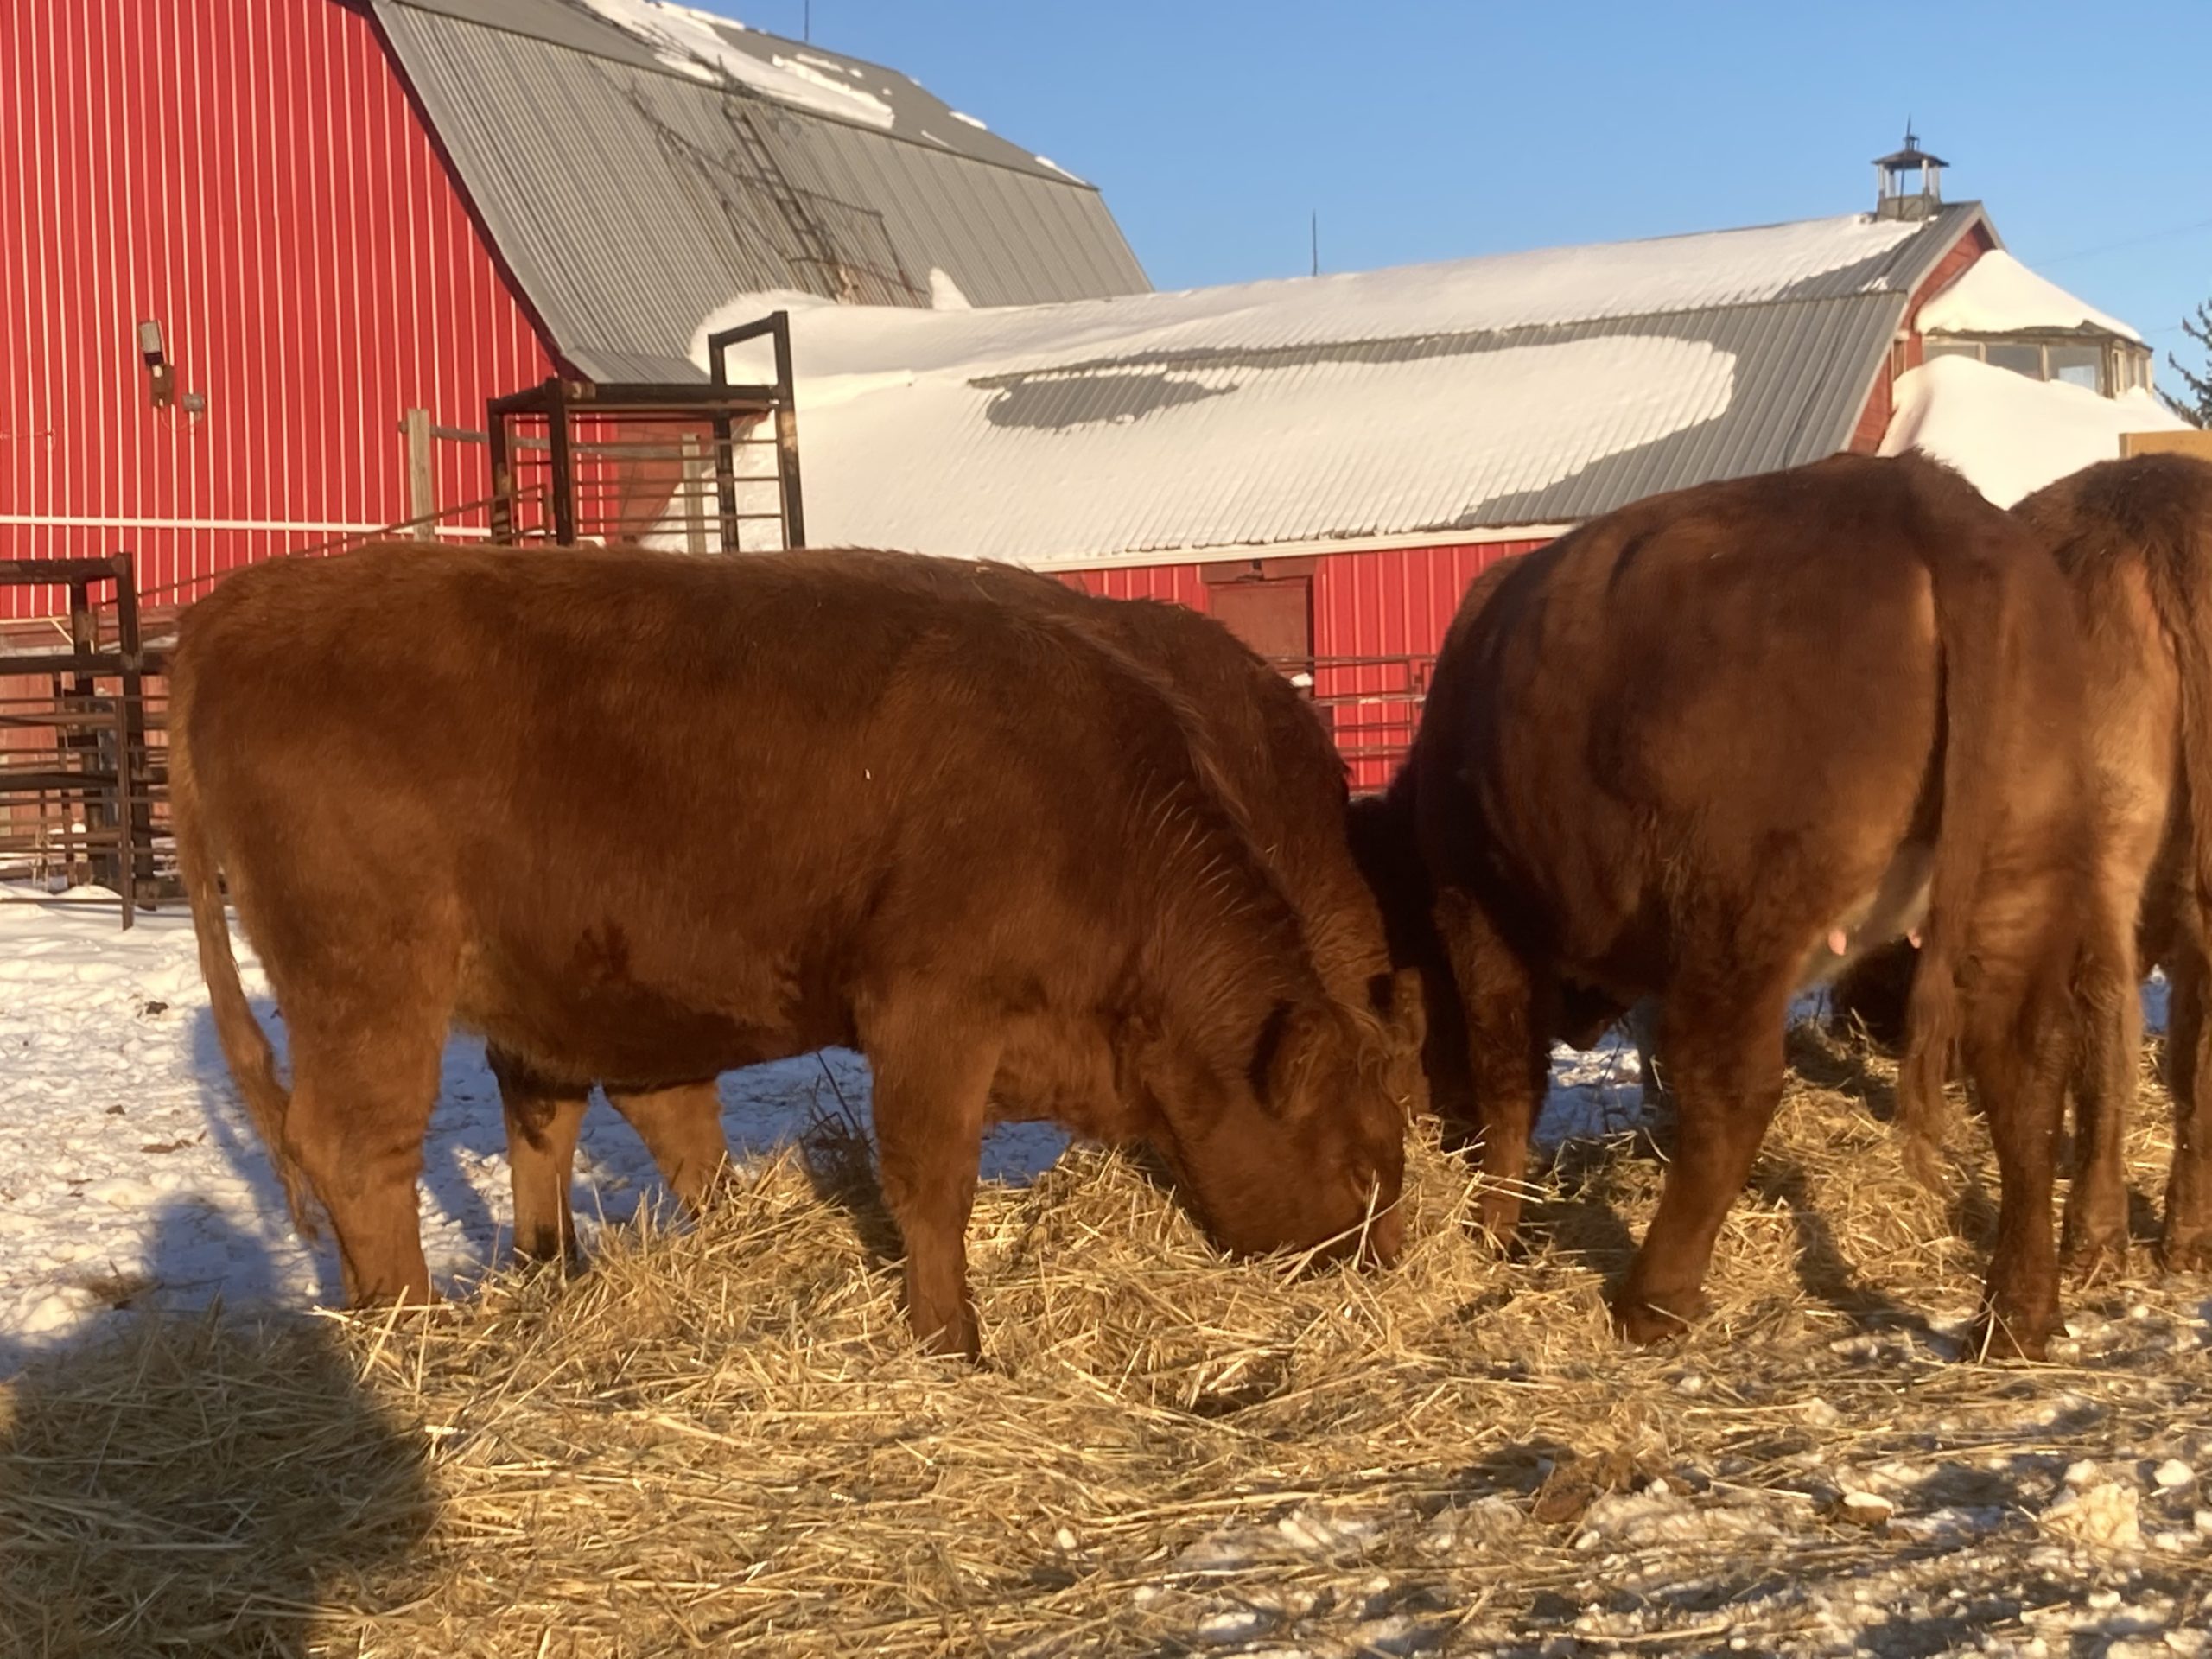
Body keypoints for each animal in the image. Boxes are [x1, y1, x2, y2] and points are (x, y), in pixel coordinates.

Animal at [1391, 451, 2120, 1358]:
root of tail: (1913, 493)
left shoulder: (1479, 907)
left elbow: (1507, 1075)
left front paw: (1492, 1229)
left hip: (1739, 912)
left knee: (1731, 1084)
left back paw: (1652, 1298)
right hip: (2018, 874)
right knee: (2027, 1068)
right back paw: (2017, 1316)